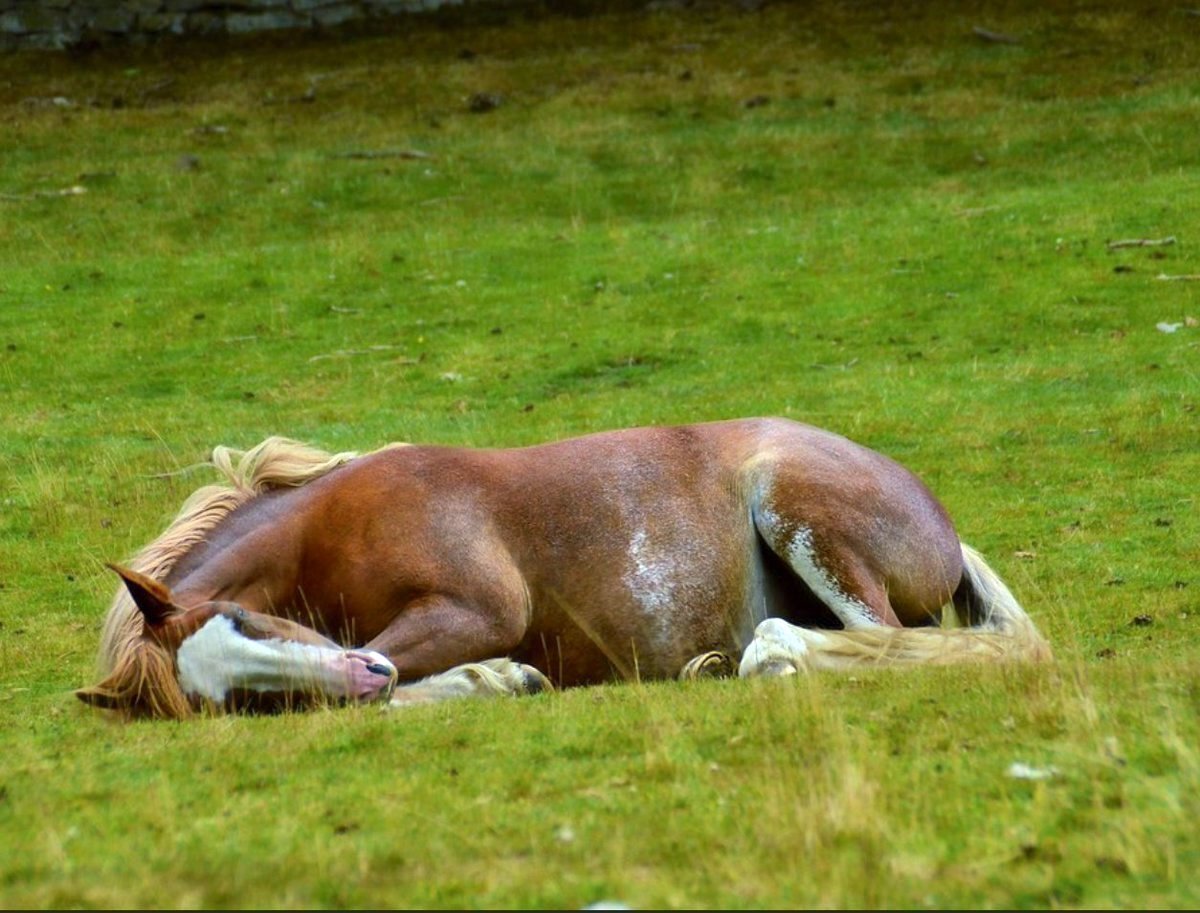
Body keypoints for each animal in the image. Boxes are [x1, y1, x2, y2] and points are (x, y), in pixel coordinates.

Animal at [77, 415, 1051, 719]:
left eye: (246, 619)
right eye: (243, 700)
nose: (361, 672)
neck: (328, 522)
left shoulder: (475, 609)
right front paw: (494, 682)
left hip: (805, 518)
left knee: (896, 641)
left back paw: (771, 654)